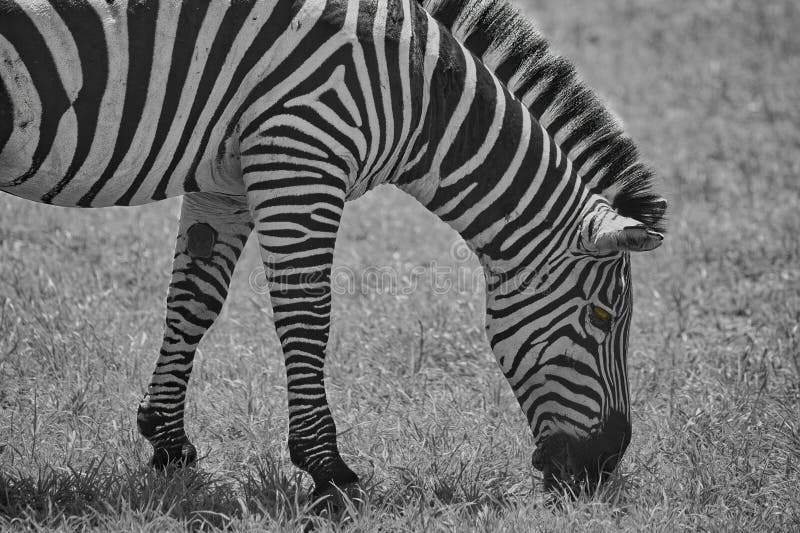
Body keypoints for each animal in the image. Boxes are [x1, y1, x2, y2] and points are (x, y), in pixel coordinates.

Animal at [0, 0, 666, 497]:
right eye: (601, 318)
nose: (601, 471)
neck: (418, 92)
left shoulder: (226, 179)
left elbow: (193, 303)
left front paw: (167, 442)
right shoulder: (302, 151)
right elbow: (307, 317)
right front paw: (327, 469)